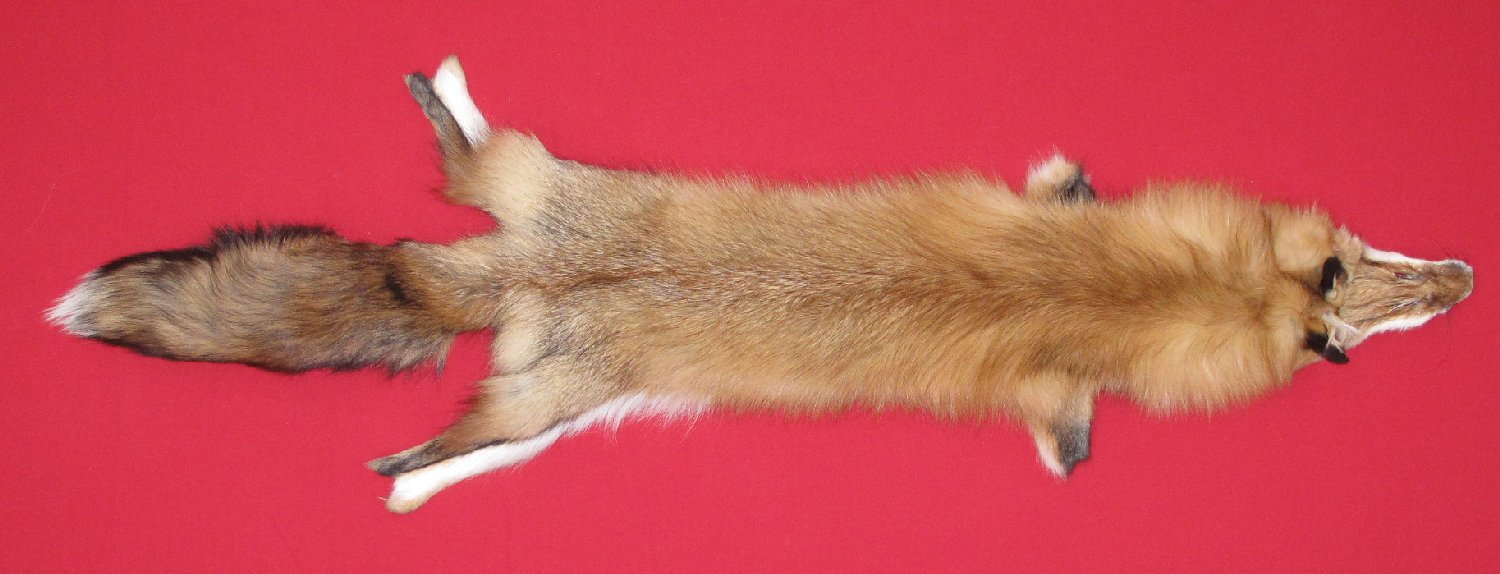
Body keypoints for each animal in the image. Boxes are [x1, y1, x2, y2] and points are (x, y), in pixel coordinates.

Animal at [47, 56, 1474, 514]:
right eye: (1345, 332)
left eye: (1378, 263)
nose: (1463, 272)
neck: (1118, 288)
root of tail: (510, 272)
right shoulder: (1067, 376)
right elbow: (1067, 442)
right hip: (555, 396)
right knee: (466, 433)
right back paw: (408, 478)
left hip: (538, 205)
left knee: (470, 166)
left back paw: (442, 99)